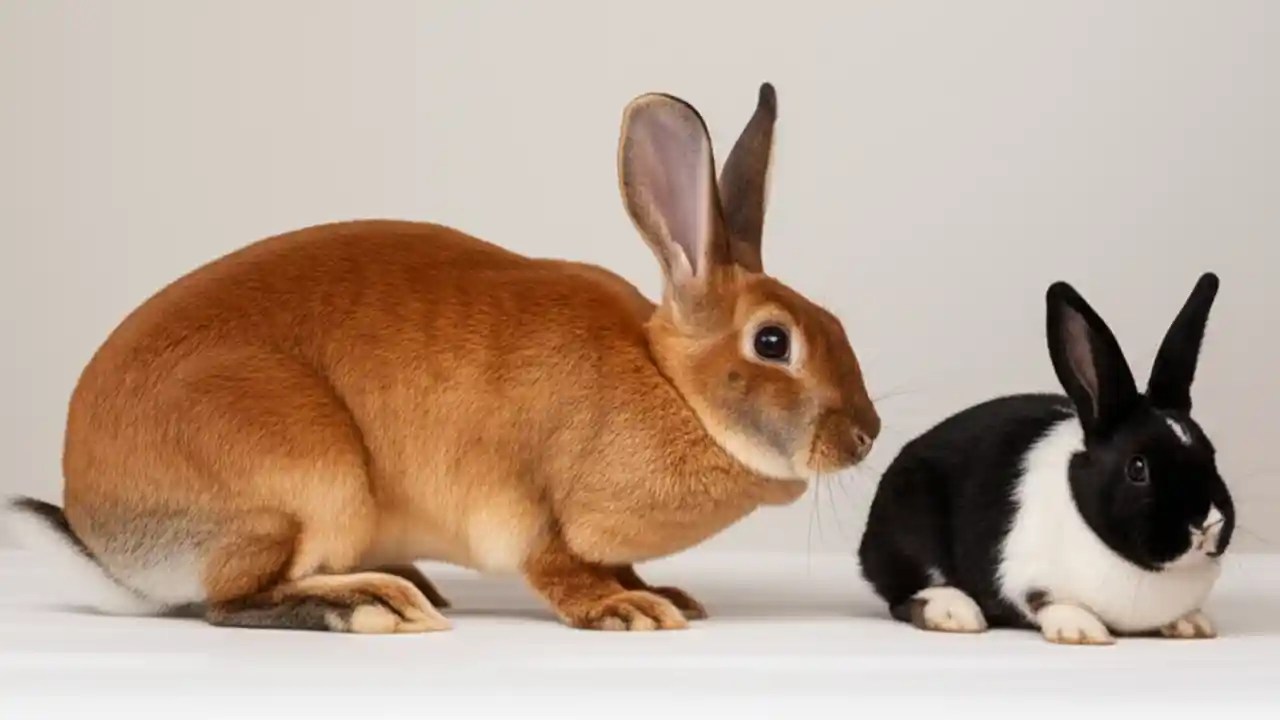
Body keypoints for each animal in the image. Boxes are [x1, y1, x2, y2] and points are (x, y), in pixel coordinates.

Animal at [4, 82, 881, 634]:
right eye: (774, 341)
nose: (865, 435)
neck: (673, 387)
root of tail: (107, 543)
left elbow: (622, 564)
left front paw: (661, 592)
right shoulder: (537, 512)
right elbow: (559, 567)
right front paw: (624, 611)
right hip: (305, 479)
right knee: (231, 599)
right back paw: (375, 605)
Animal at [857, 273, 1232, 645]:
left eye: (1211, 453)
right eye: (1137, 468)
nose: (1207, 524)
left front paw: (1192, 624)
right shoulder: (1022, 575)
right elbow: (1050, 603)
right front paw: (1082, 630)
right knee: (904, 595)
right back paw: (954, 613)